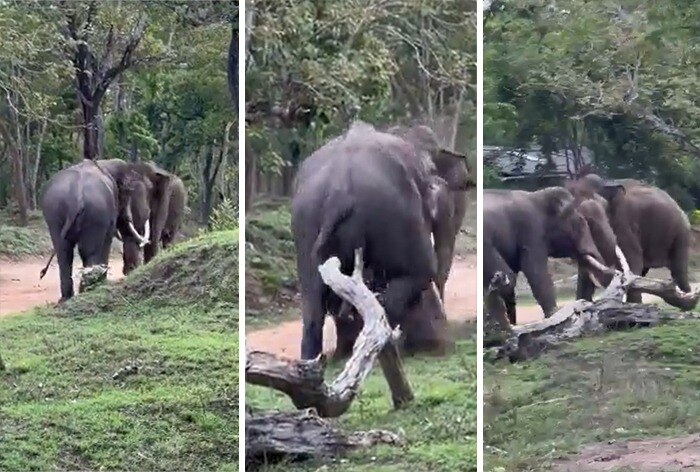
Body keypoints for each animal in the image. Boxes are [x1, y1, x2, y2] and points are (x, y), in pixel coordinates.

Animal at [40, 159, 153, 301]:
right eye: (132, 194)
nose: (129, 271)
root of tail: (76, 197)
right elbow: (108, 239)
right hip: (96, 213)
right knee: (89, 251)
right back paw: (88, 290)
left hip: (54, 213)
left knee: (64, 251)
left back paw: (67, 298)